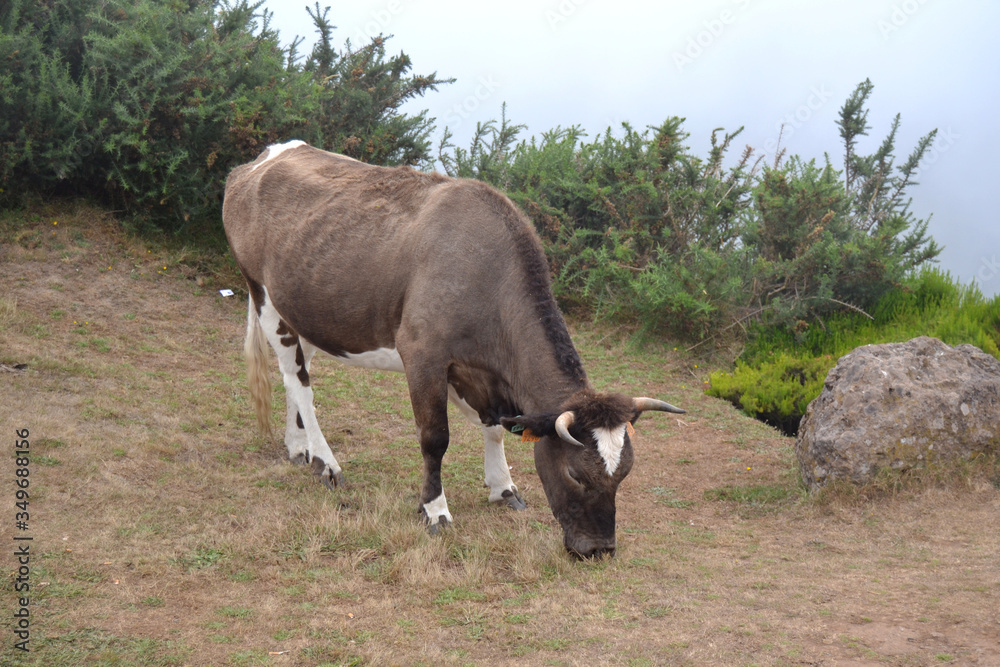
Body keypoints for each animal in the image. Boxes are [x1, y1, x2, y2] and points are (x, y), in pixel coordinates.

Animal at [222, 141, 685, 558]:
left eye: (625, 474)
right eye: (575, 474)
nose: (600, 549)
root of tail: (259, 160)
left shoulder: (478, 372)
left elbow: (495, 425)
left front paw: (503, 487)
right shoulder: (423, 354)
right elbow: (435, 438)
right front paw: (434, 510)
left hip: (304, 308)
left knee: (293, 378)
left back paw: (297, 446)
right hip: (262, 294)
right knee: (299, 382)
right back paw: (325, 461)